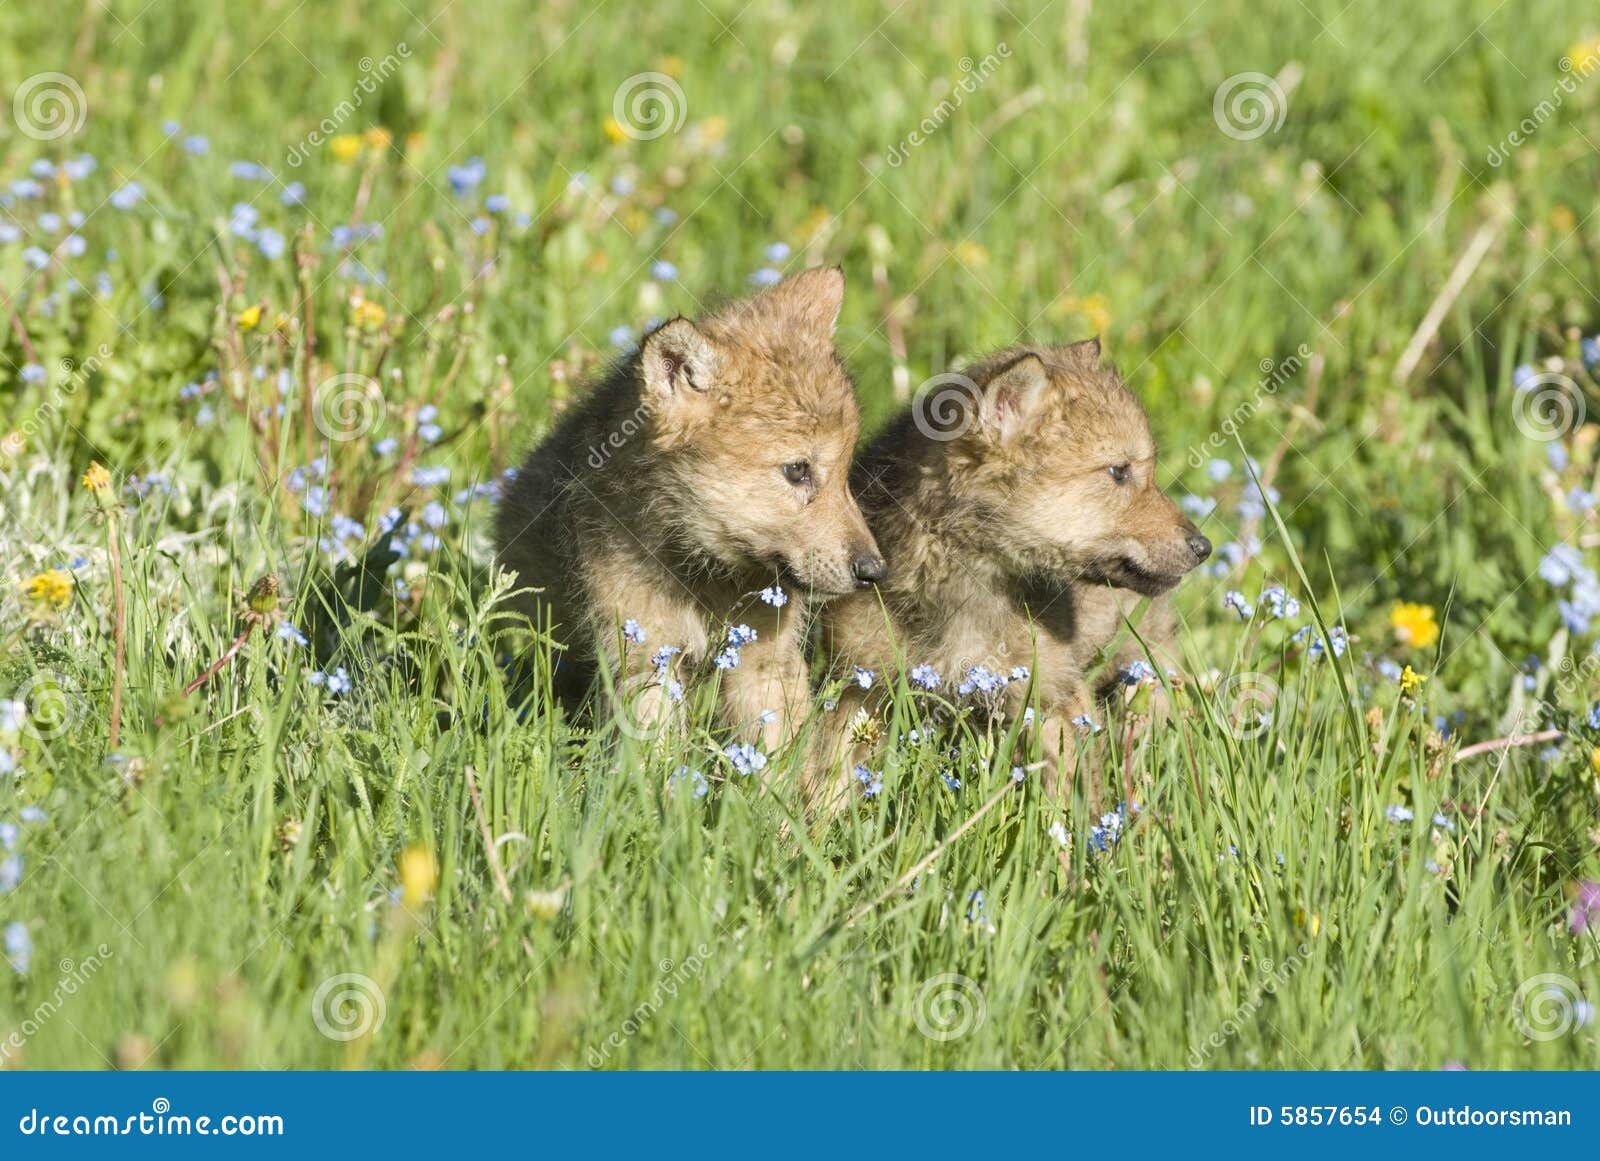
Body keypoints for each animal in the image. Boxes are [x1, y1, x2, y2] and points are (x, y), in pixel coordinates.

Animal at [495, 268, 885, 754]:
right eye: (797, 471)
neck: (703, 572)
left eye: (846, 473)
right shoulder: (646, 659)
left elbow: (780, 758)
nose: (874, 570)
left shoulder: (765, 663)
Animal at [815, 338, 1210, 807]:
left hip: (1147, 669)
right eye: (1118, 471)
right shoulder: (860, 685)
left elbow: (1070, 805)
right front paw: (801, 824)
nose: (1203, 547)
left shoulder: (1054, 698)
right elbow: (825, 781)